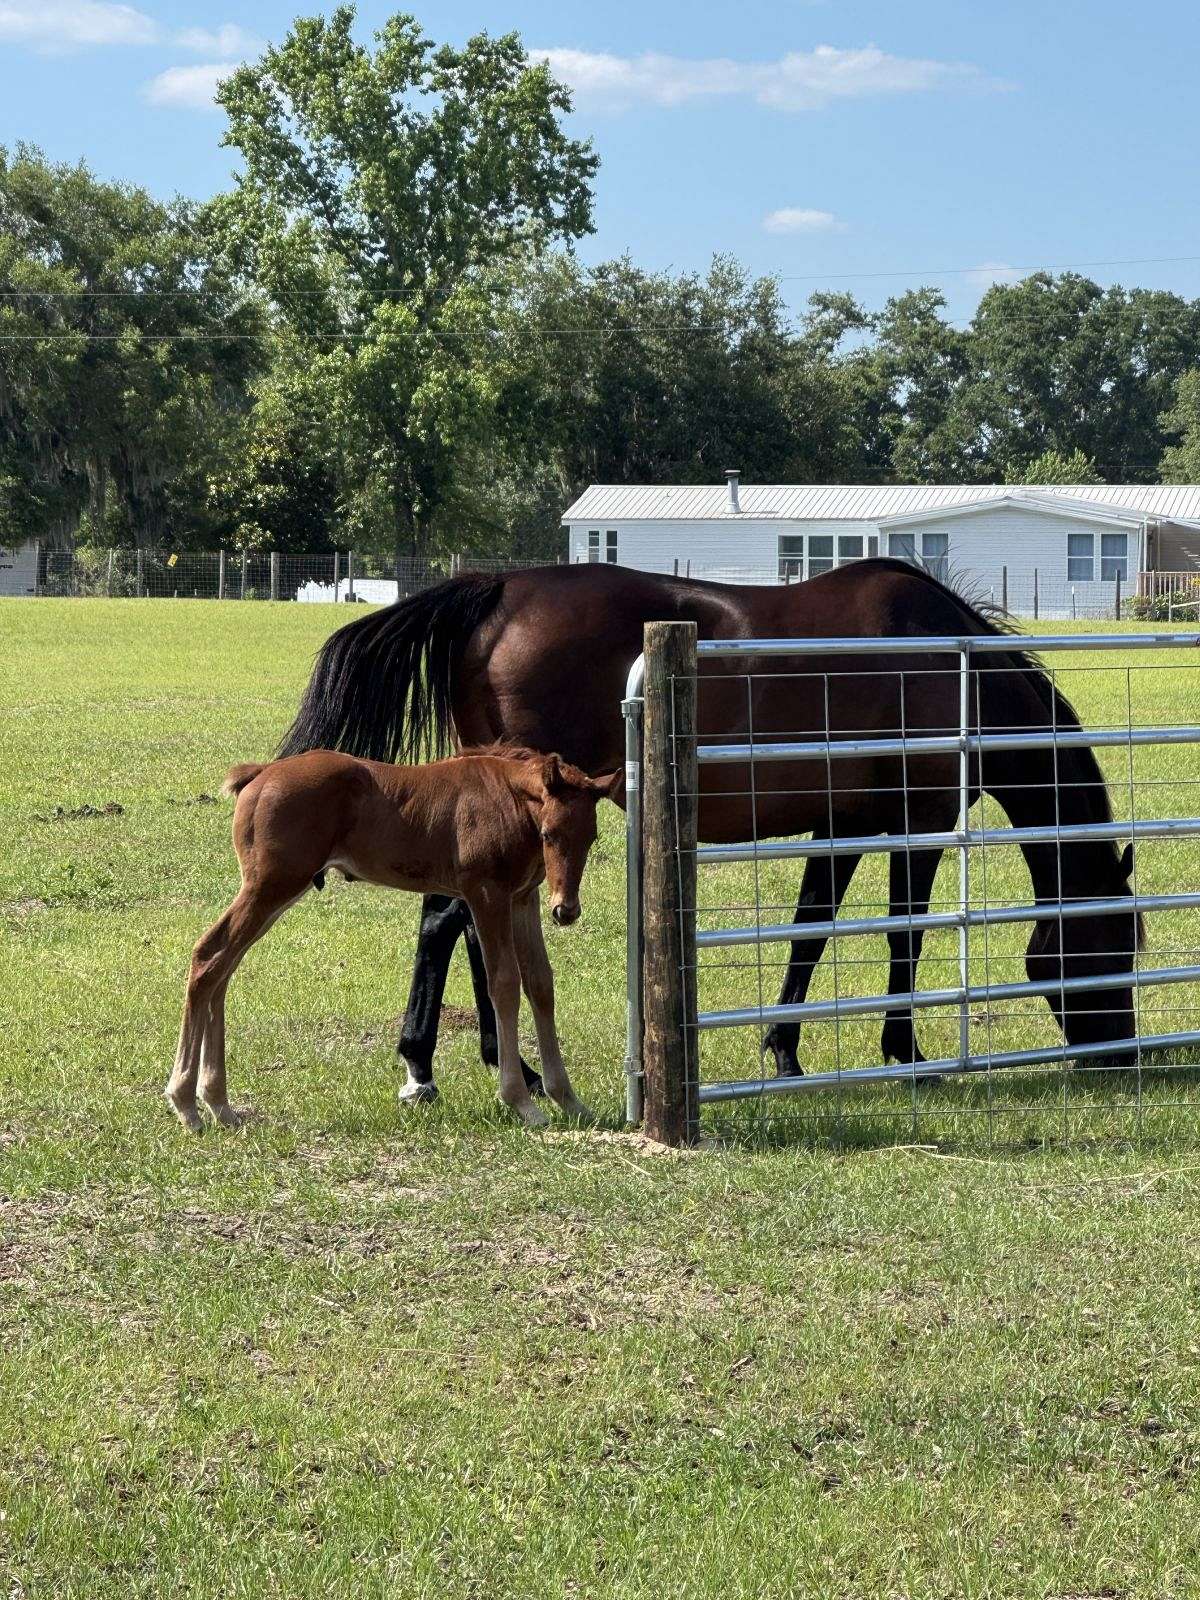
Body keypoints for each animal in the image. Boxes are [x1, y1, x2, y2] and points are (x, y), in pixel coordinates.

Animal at [166, 745, 621, 1133]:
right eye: (548, 835)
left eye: (591, 836)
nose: (566, 909)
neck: (507, 798)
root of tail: (259, 775)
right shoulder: (486, 894)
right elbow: (504, 983)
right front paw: (521, 1101)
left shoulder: (523, 898)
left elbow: (540, 983)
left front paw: (569, 1099)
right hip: (270, 887)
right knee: (209, 956)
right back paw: (187, 1103)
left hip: (277, 891)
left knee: (223, 967)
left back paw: (218, 1104)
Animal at [278, 559, 1143, 1093]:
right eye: (1114, 943)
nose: (1119, 1054)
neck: (944, 662)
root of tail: (496, 592)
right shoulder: (917, 826)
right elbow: (906, 936)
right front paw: (907, 1054)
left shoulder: (843, 829)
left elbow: (809, 932)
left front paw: (785, 1052)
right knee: (446, 922)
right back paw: (447, 1066)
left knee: (458, 924)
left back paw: (483, 1060)